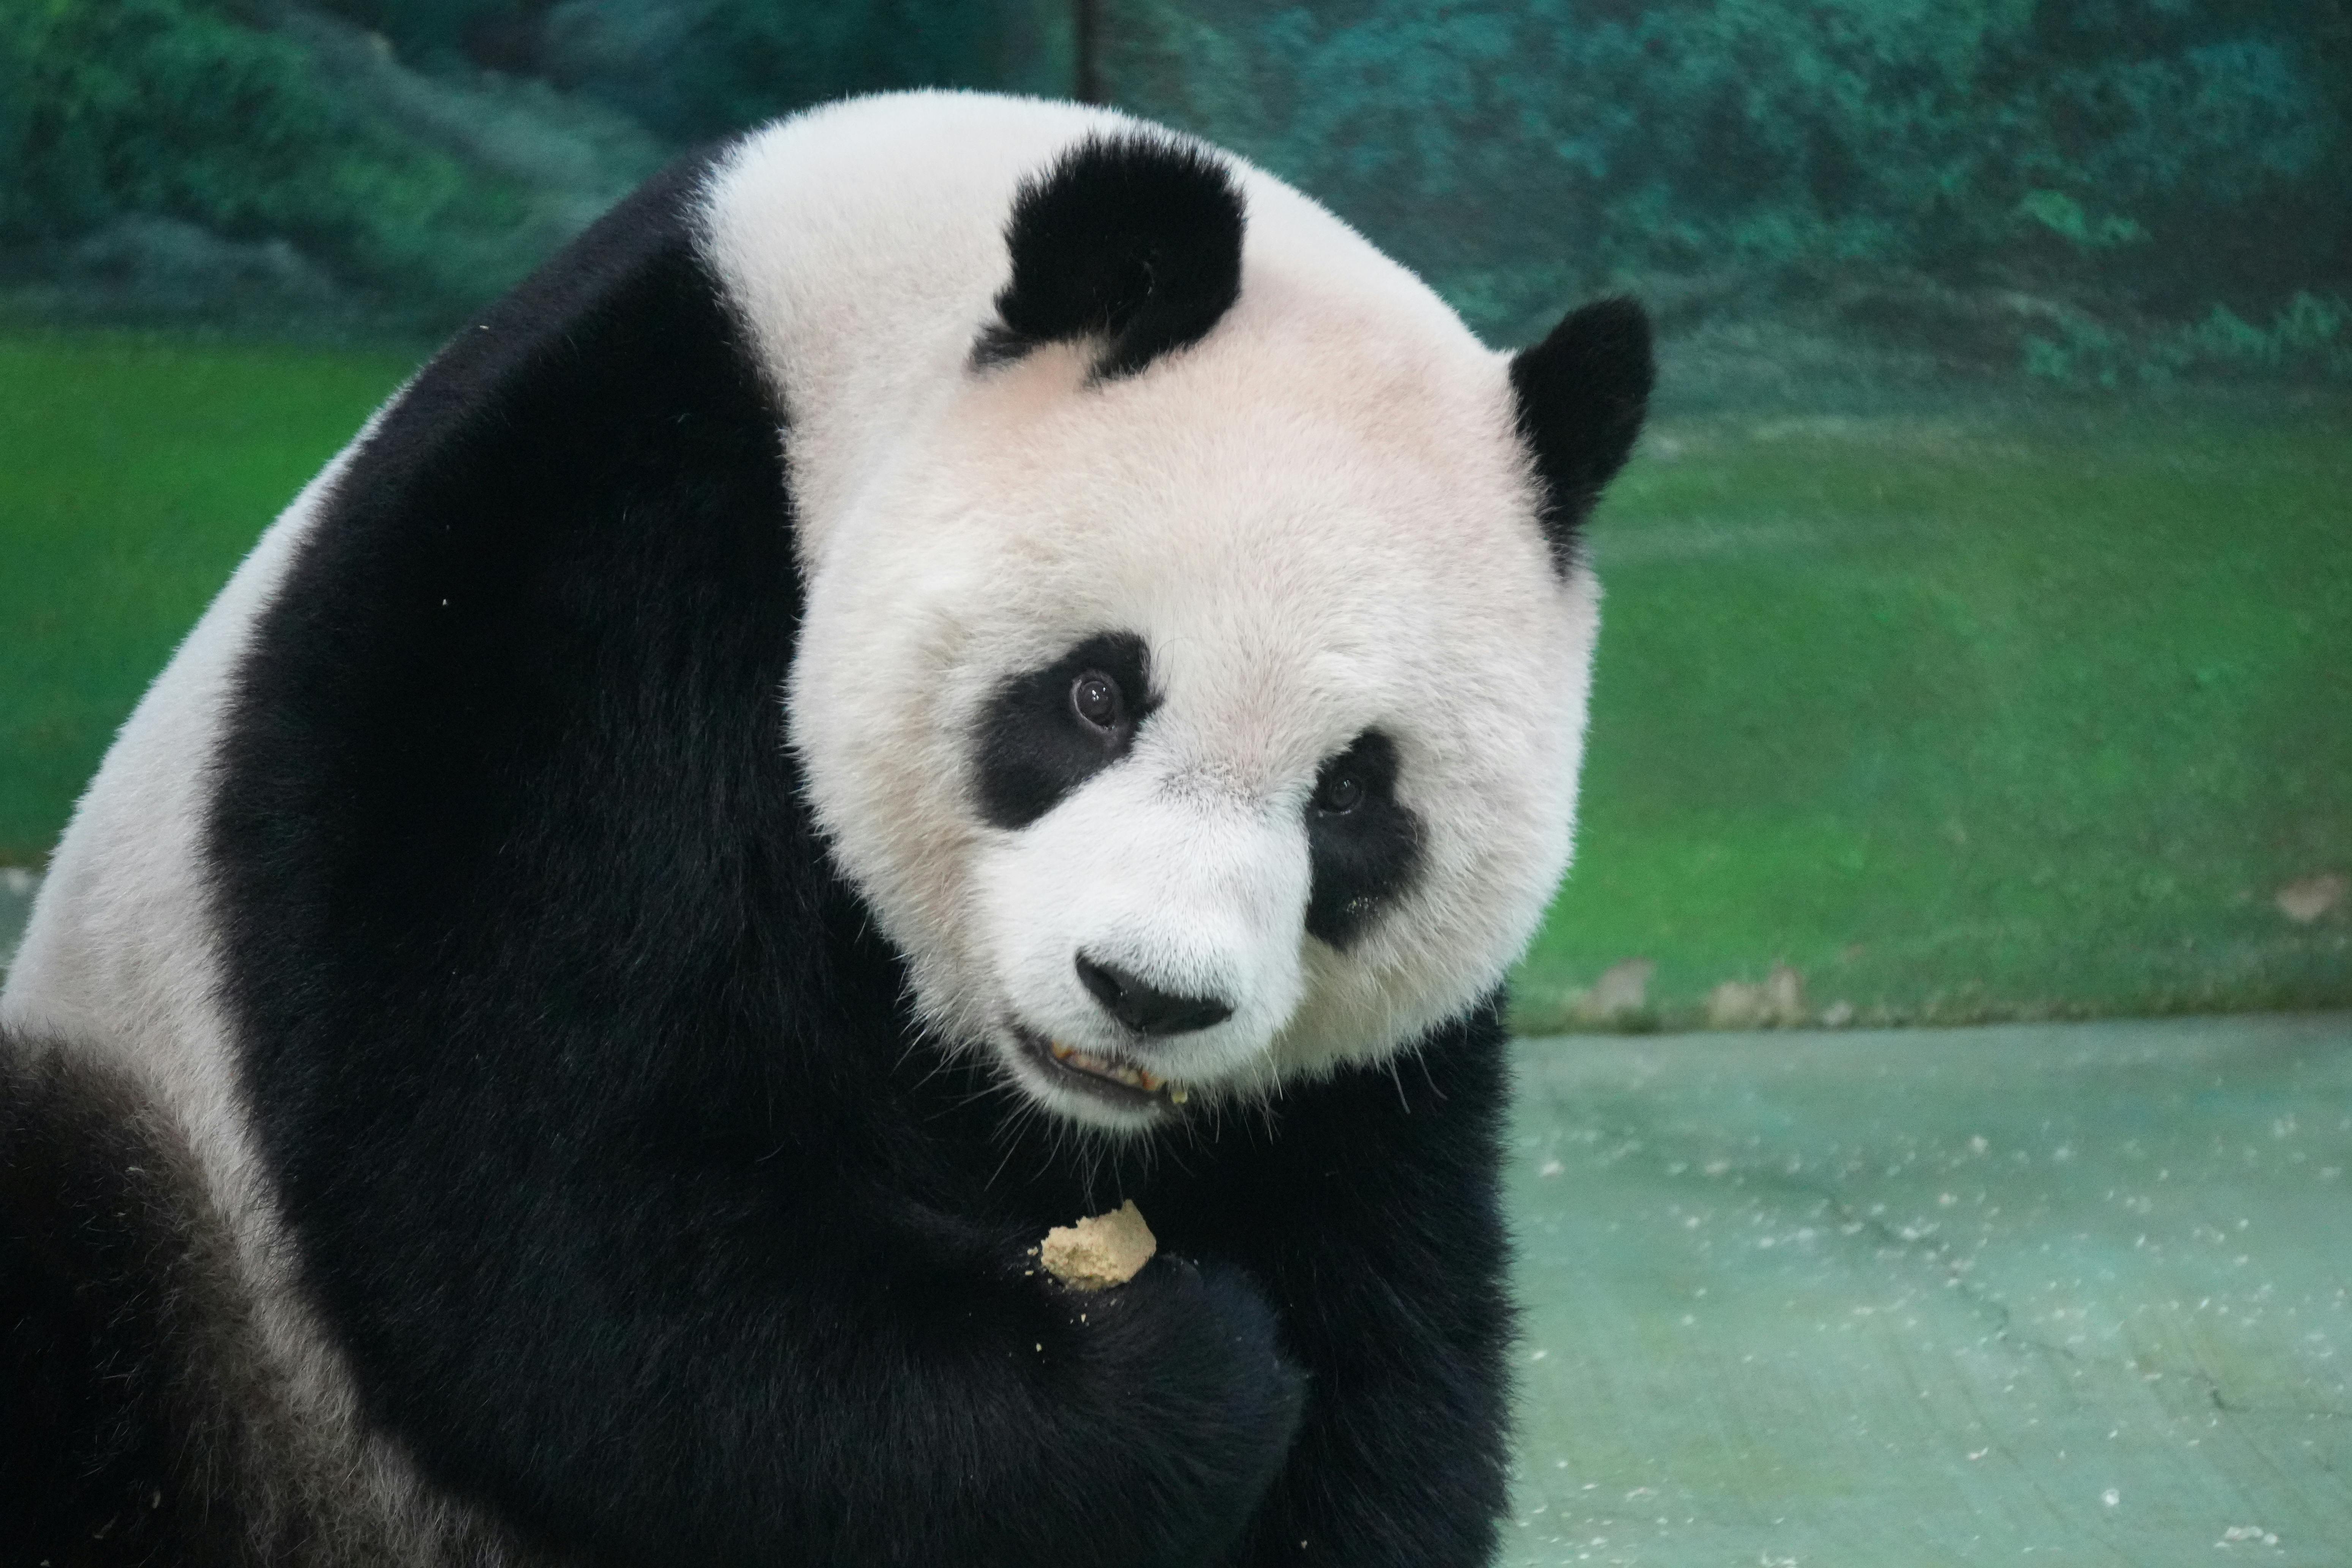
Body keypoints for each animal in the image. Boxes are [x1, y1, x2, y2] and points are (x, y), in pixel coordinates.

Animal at [0, 91, 1648, 1567]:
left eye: (1354, 794)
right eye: (1098, 693)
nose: (1146, 994)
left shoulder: (1361, 1082)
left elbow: (1387, 1309)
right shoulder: (571, 594)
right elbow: (558, 1209)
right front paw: (1172, 1372)